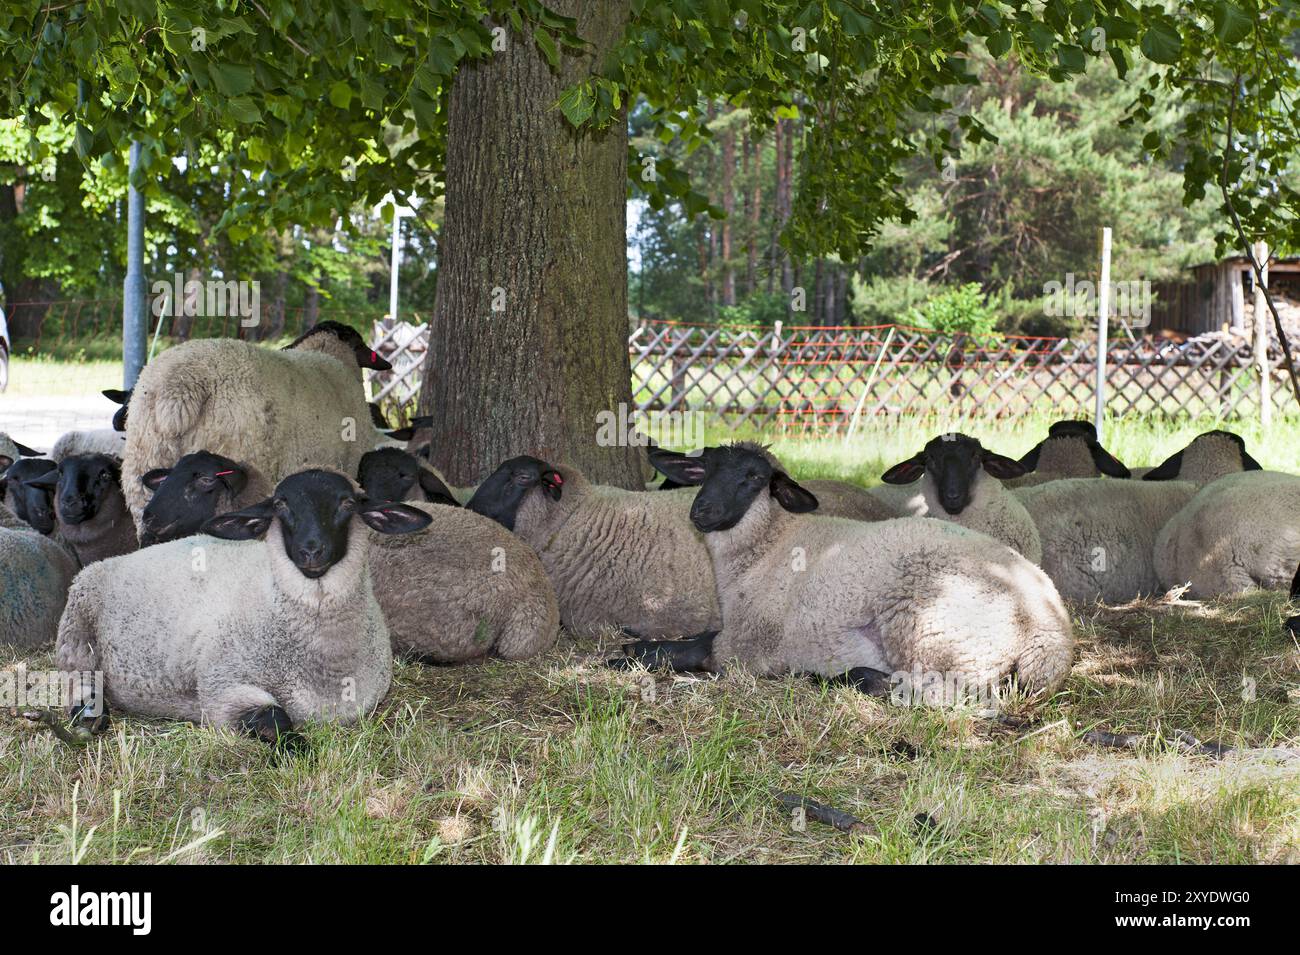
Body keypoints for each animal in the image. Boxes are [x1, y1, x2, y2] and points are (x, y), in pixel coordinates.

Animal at [54, 469, 431, 747]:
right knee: (78, 675)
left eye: (347, 503)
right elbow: (278, 721)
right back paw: (89, 714)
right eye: (281, 504)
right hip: (77, 629)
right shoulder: (223, 689)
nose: (312, 550)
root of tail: (122, 556)